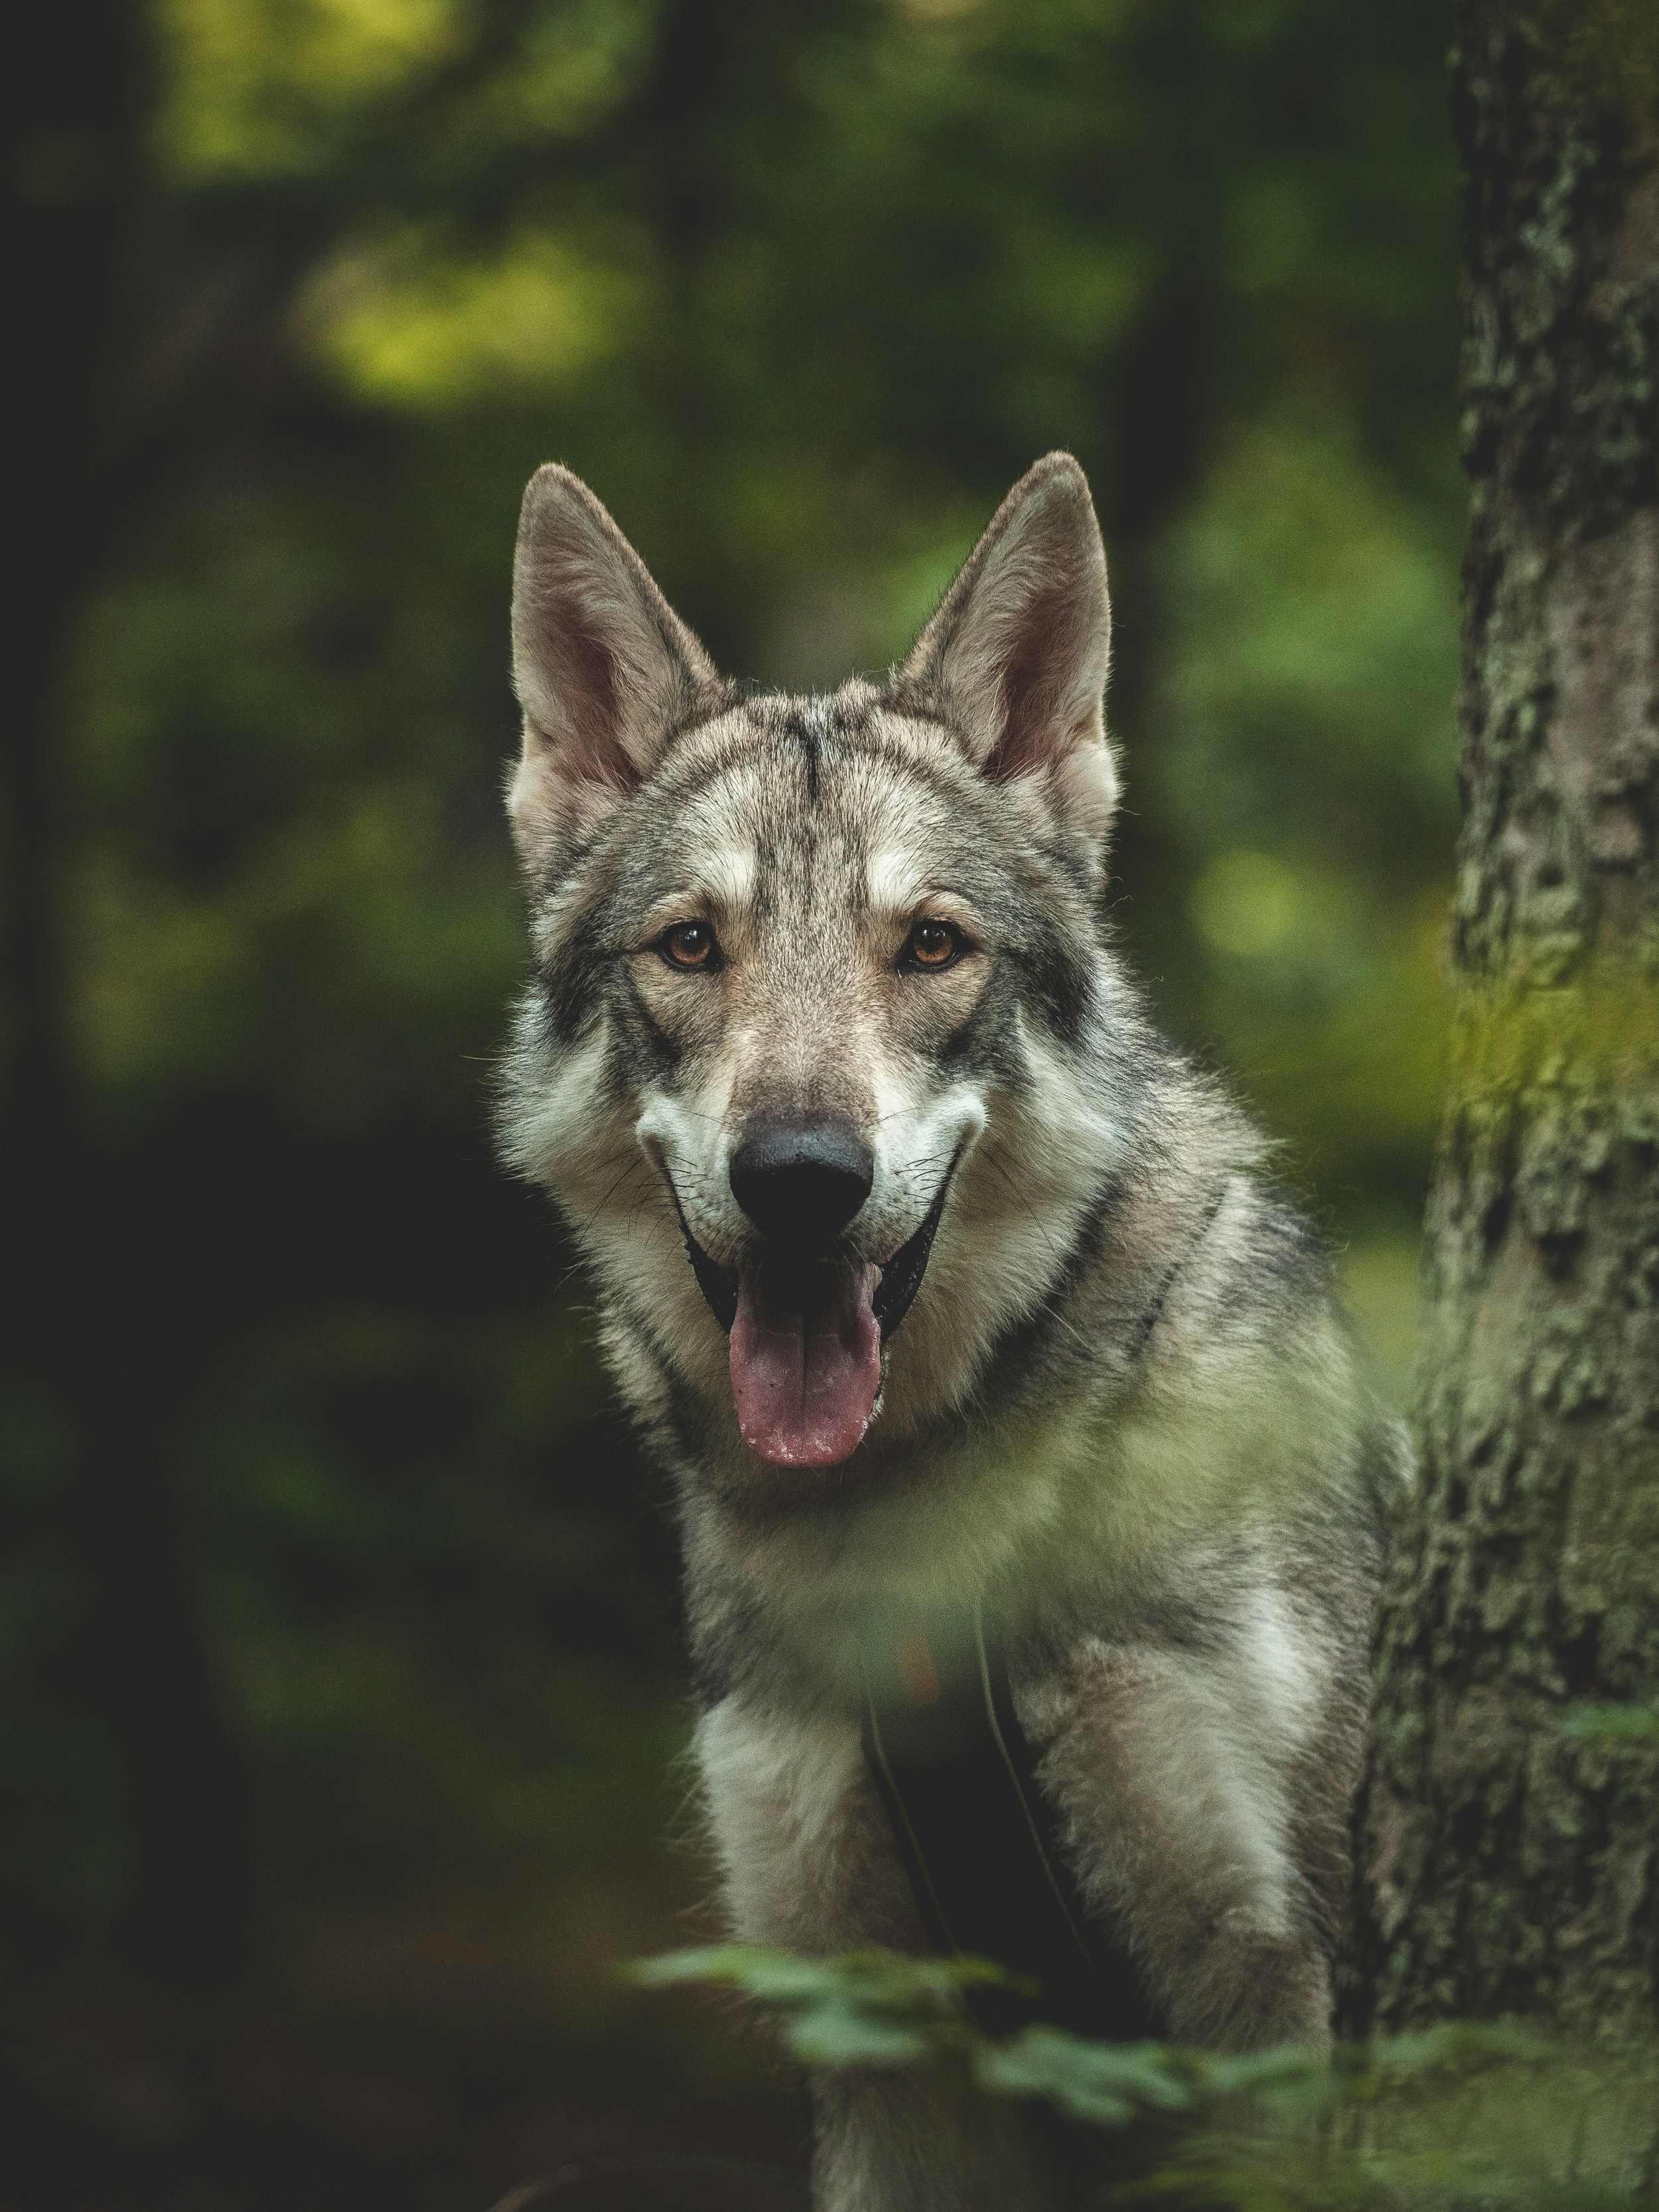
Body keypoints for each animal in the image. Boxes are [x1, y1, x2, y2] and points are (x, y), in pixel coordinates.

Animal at [497, 452, 1398, 2211]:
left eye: (929, 945)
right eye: (691, 945)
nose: (798, 1178)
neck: (907, 1530)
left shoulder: (1266, 2003)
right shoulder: (882, 2045)